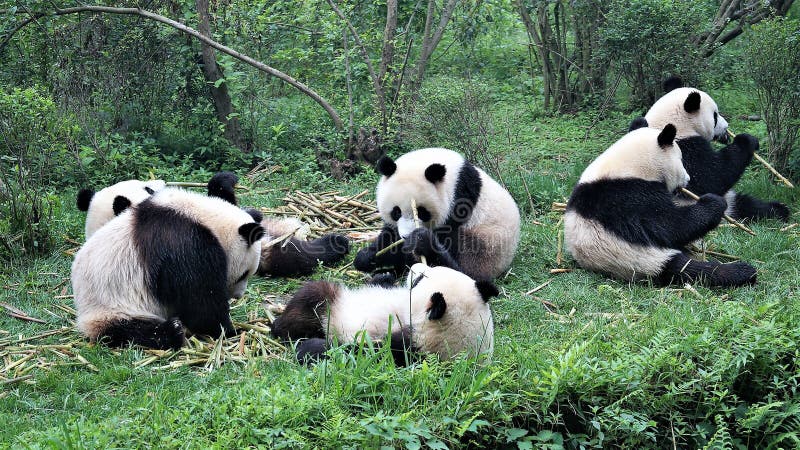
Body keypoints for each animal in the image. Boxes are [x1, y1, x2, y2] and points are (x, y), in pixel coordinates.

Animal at [71, 173, 265, 350]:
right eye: (243, 274)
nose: (238, 295)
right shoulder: (186, 246)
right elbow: (201, 302)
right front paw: (229, 330)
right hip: (114, 309)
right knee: (131, 331)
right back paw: (173, 331)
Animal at [271, 263, 497, 366]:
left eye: (419, 279)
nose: (414, 266)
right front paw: (385, 276)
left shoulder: (409, 350)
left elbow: (359, 355)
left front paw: (309, 349)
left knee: (311, 299)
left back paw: (282, 328)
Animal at [354, 148, 520, 281]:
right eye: (396, 211)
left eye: (421, 212)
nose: (406, 236)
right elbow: (391, 238)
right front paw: (367, 256)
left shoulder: (459, 201)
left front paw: (419, 241)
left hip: (488, 245)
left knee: (464, 265)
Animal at [564, 124, 757, 287]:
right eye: (681, 160)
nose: (687, 180)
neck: (629, 165)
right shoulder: (628, 196)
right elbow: (671, 225)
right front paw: (713, 203)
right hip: (640, 256)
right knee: (691, 269)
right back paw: (743, 272)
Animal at [631, 76, 789, 222]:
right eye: (715, 116)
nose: (726, 127)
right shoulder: (681, 150)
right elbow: (711, 177)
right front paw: (747, 140)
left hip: (729, 199)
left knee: (746, 204)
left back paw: (779, 210)